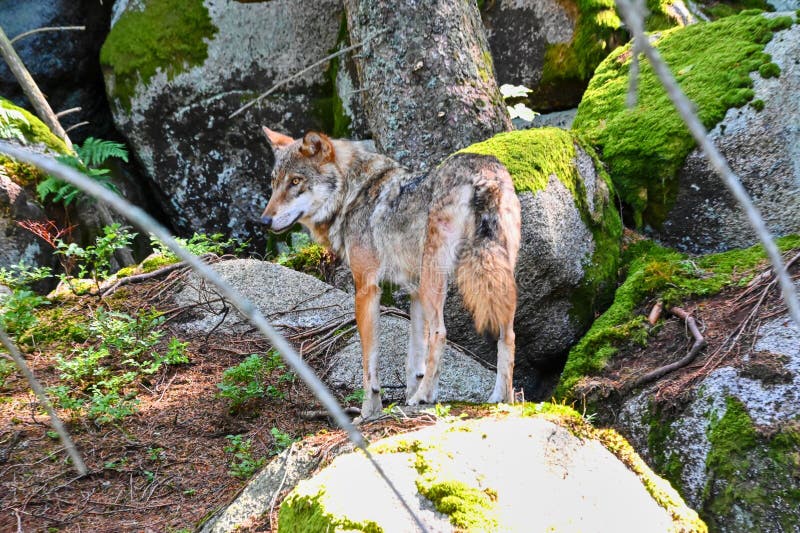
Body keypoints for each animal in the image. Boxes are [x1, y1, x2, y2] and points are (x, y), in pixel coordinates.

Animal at [260, 128, 521, 420]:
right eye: (274, 183)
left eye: (296, 181)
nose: (264, 221)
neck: (353, 194)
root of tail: (482, 169)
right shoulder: (414, 292)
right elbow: (413, 360)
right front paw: (408, 397)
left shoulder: (367, 288)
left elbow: (369, 363)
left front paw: (369, 410)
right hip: (496, 277)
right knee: (508, 336)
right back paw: (501, 398)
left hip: (437, 280)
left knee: (441, 333)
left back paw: (424, 396)